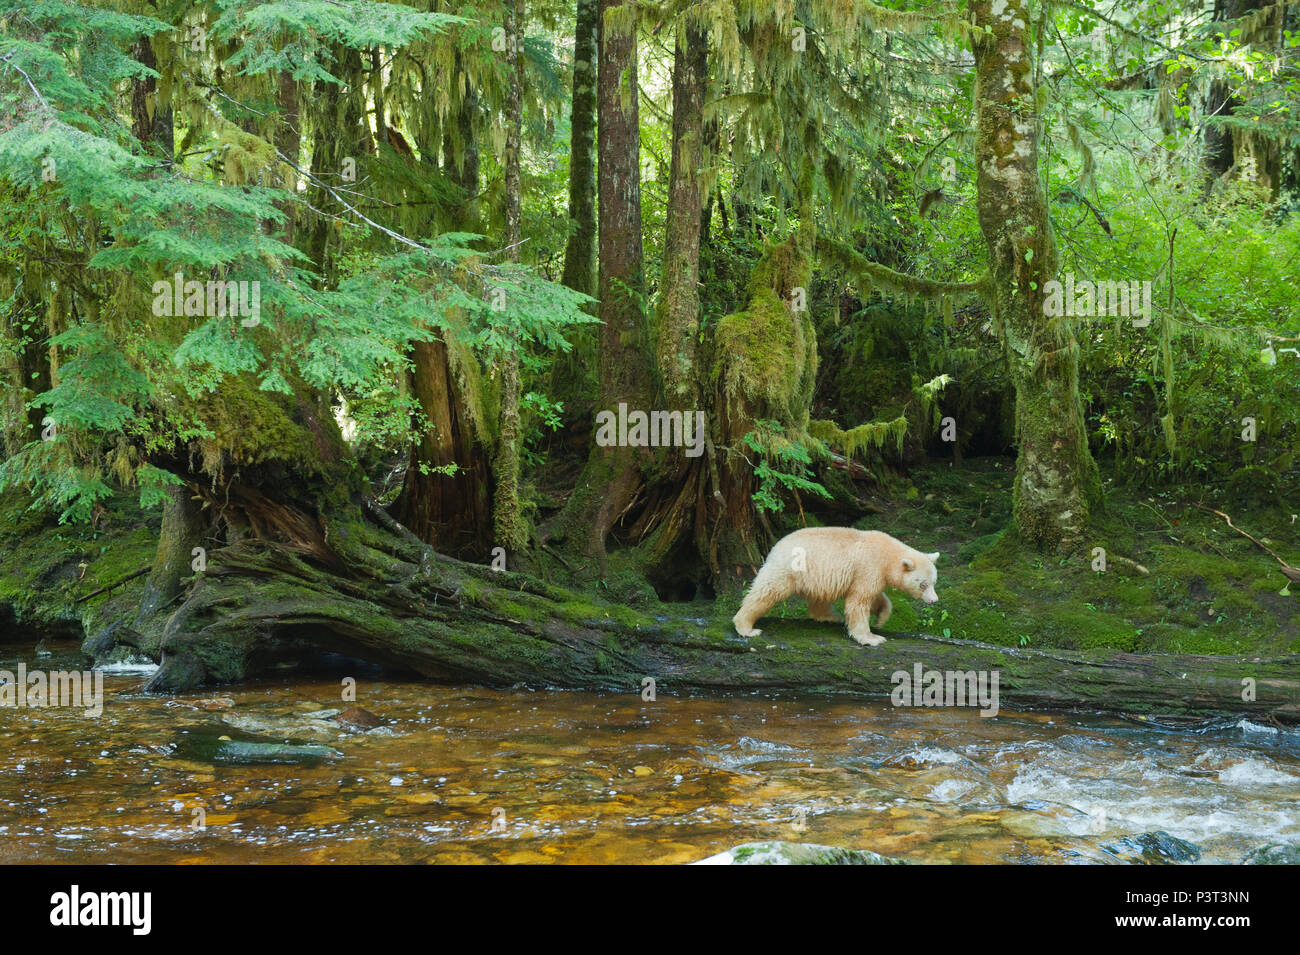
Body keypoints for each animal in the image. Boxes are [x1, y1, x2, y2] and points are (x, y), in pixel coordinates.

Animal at [732, 527, 940, 646]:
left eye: (934, 582)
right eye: (923, 584)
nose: (934, 600)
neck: (888, 555)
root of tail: (775, 547)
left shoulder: (872, 574)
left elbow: (874, 596)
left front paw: (881, 617)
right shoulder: (869, 566)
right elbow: (859, 601)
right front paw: (871, 638)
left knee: (820, 597)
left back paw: (829, 616)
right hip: (789, 568)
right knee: (767, 591)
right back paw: (746, 627)